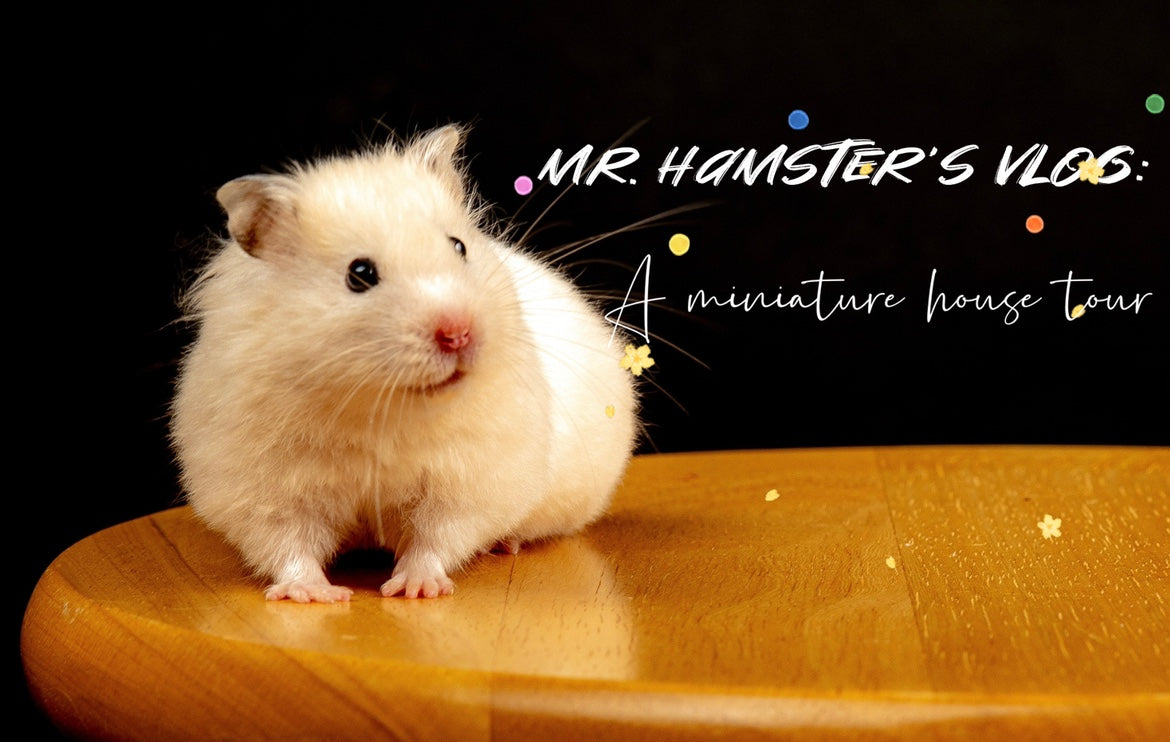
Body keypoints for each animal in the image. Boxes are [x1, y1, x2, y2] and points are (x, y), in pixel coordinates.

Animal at [170, 126, 639, 602]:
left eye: (459, 246)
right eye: (359, 274)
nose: (459, 333)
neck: (378, 403)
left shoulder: (467, 480)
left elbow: (436, 537)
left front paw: (415, 589)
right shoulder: (263, 489)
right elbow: (287, 544)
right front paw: (315, 594)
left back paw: (506, 544)